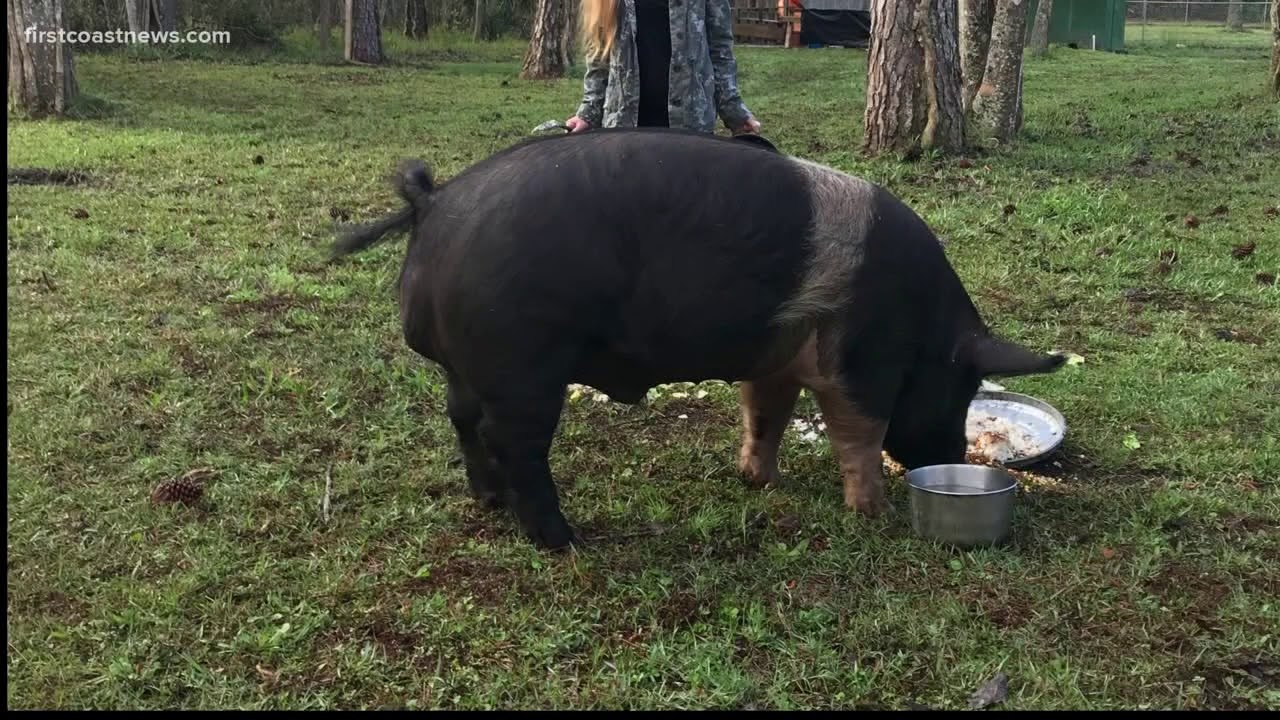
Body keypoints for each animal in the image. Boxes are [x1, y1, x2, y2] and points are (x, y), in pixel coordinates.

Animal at [331, 127, 1065, 550]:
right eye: (960, 387)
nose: (950, 459)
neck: (921, 329)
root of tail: (434, 205)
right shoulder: (857, 363)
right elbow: (858, 436)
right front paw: (874, 514)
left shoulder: (777, 357)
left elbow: (765, 414)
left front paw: (757, 481)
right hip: (525, 363)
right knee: (511, 443)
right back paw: (566, 542)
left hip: (464, 367)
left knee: (460, 420)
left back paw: (488, 505)